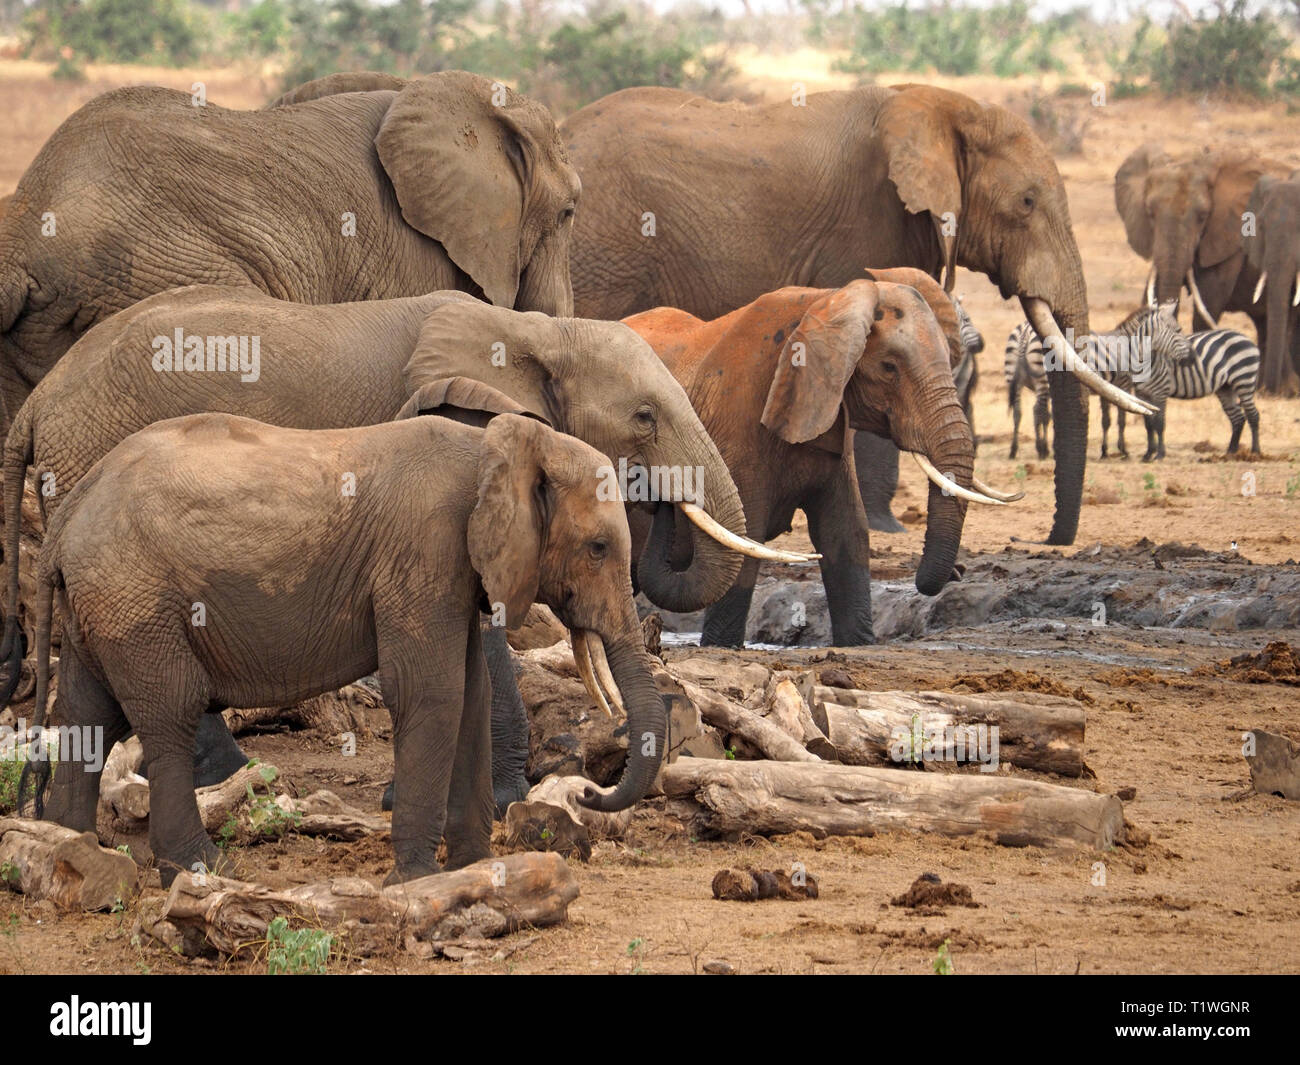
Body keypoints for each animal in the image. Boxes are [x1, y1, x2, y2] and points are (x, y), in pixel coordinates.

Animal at [18, 412, 665, 885]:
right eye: (599, 548)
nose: (587, 789)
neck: (496, 447)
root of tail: (66, 516)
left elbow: (468, 695)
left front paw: (473, 869)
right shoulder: (424, 552)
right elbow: (430, 694)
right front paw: (412, 881)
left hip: (103, 601)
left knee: (88, 712)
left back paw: (70, 848)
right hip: (135, 598)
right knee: (170, 712)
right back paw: (208, 872)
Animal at [561, 82, 1150, 547]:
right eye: (1026, 203)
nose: (1048, 539)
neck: (942, 104)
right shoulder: (869, 225)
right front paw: (889, 527)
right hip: (598, 254)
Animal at [623, 277, 1010, 647]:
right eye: (889, 367)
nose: (958, 571)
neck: (826, 299)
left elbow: (846, 533)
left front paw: (859, 645)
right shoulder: (737, 422)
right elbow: (746, 538)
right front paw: (721, 647)